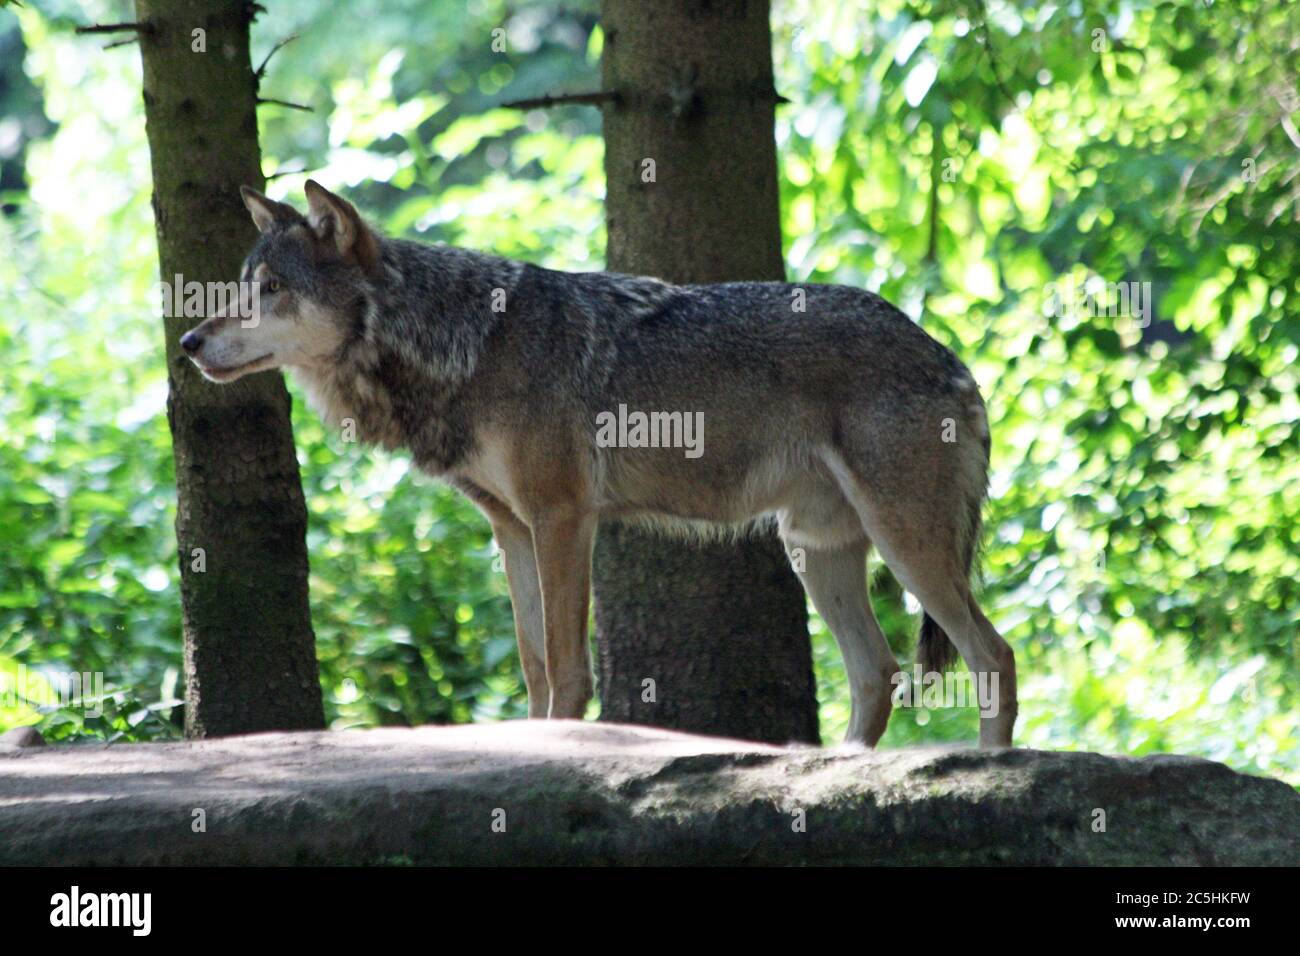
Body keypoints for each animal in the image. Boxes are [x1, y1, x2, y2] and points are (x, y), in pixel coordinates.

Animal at [179, 180, 1018, 748]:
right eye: (242, 286)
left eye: (270, 290)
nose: (187, 343)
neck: (454, 348)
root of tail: (952, 359)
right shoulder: (512, 531)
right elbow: (532, 664)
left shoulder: (562, 520)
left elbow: (565, 665)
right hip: (814, 551)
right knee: (878, 675)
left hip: (903, 546)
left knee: (992, 655)